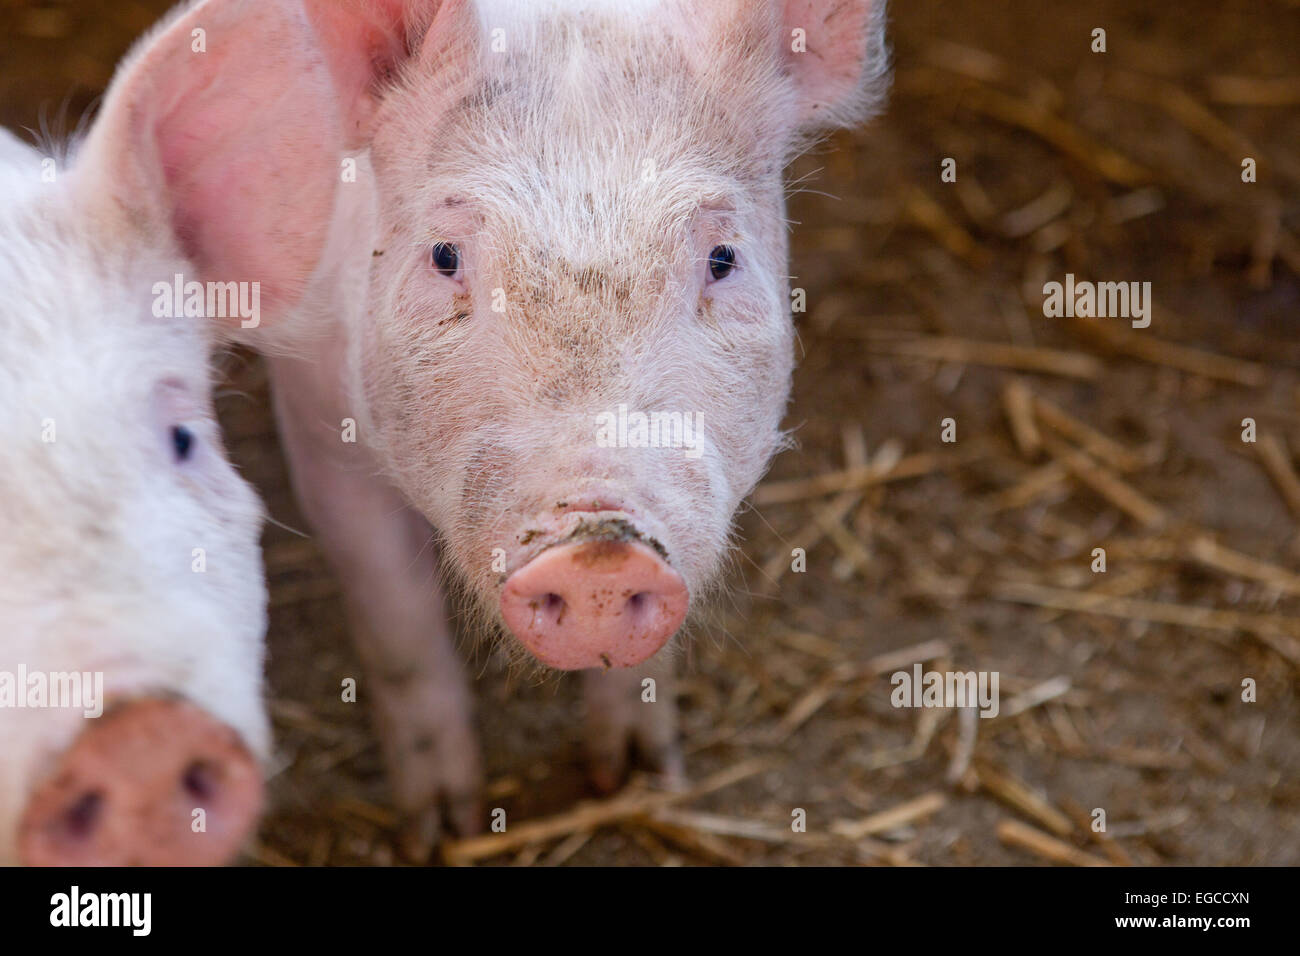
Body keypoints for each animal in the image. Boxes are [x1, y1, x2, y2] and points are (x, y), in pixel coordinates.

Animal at [260, 0, 889, 854]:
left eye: (722, 258)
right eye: (444, 256)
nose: (598, 555)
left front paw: (637, 779)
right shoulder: (317, 418)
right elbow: (398, 629)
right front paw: (444, 831)